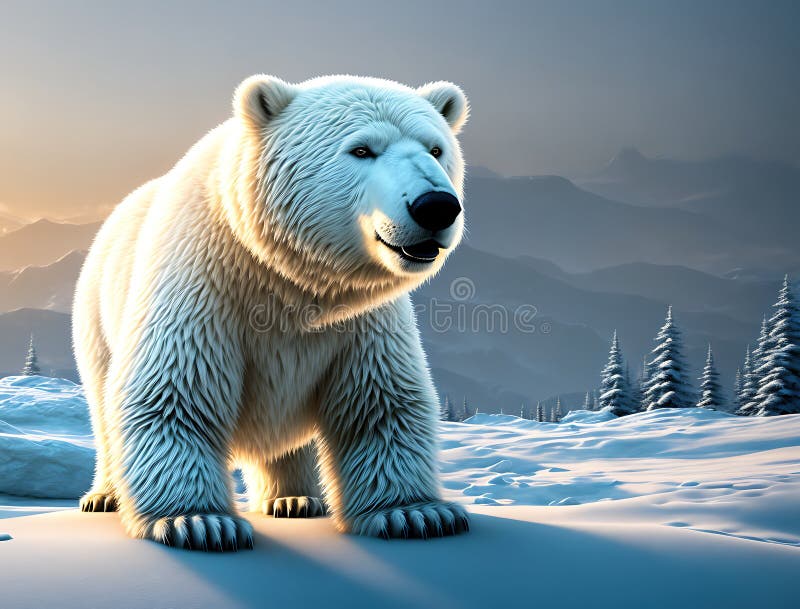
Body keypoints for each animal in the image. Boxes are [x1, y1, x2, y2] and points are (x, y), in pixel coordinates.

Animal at [72, 74, 471, 551]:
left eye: (436, 148)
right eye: (361, 149)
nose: (436, 206)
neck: (291, 278)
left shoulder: (363, 319)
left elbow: (379, 401)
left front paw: (415, 513)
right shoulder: (203, 284)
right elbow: (175, 392)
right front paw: (199, 521)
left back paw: (295, 499)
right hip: (97, 314)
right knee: (102, 407)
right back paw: (103, 496)